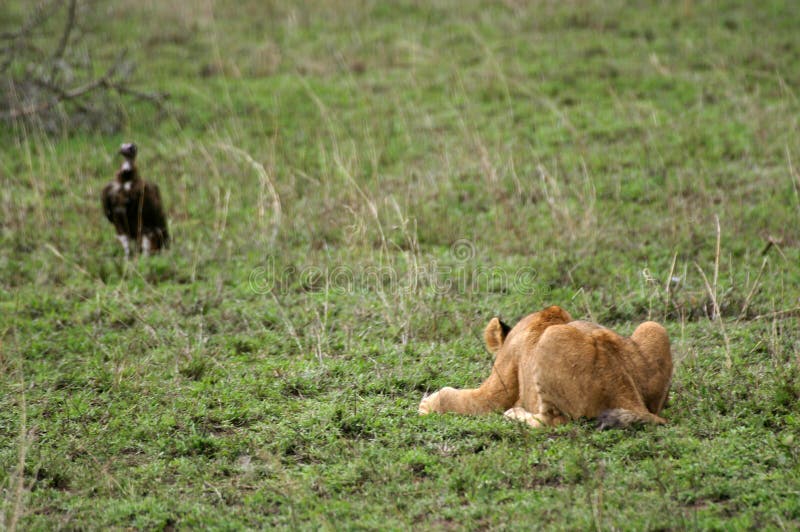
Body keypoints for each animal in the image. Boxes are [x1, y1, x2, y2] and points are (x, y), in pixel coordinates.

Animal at [418, 306, 672, 429]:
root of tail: (627, 394)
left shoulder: (500, 383)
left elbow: (460, 398)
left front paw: (426, 404)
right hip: (654, 327)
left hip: (552, 339)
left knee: (551, 422)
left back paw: (515, 415)